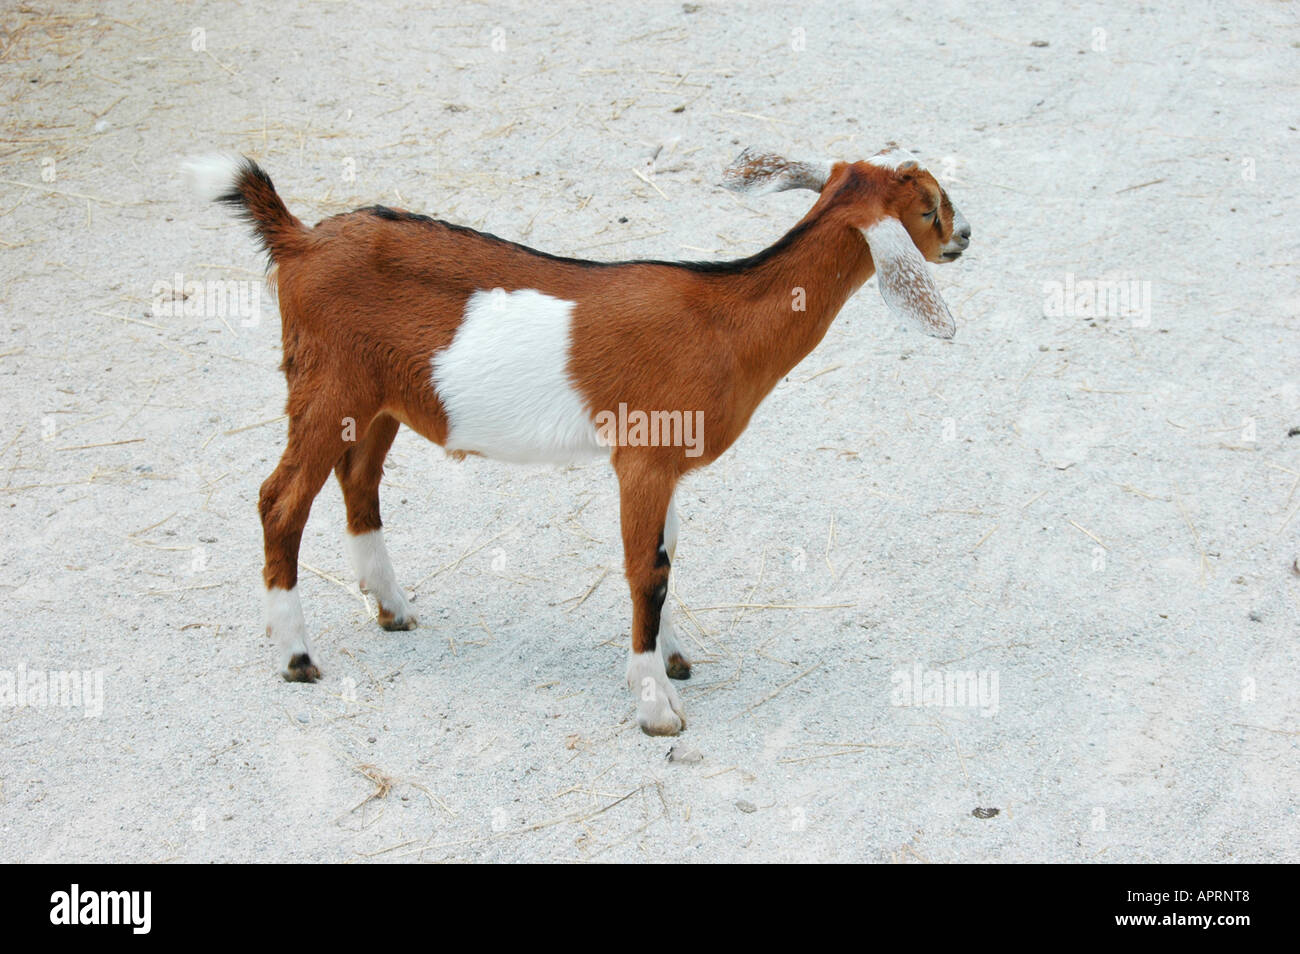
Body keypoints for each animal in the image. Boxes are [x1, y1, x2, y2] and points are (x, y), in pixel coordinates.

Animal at [183, 142, 971, 736]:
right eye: (929, 208)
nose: (966, 237)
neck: (722, 320)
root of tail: (299, 239)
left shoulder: (665, 463)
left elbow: (666, 555)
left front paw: (673, 659)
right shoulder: (643, 457)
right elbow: (645, 572)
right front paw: (656, 705)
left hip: (377, 400)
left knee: (359, 480)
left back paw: (392, 609)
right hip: (325, 386)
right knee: (281, 499)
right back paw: (296, 658)